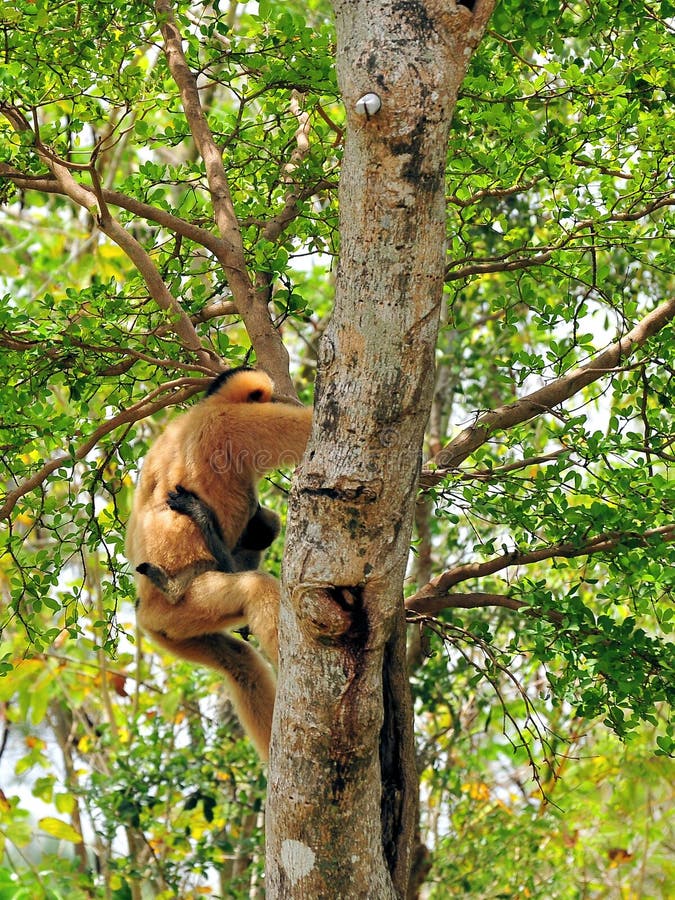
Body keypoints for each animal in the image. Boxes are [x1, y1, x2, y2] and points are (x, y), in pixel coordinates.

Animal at [125, 367, 313, 759]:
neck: (206, 407)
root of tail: (149, 605)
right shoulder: (235, 422)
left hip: (169, 631)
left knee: (238, 663)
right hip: (187, 603)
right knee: (254, 585)